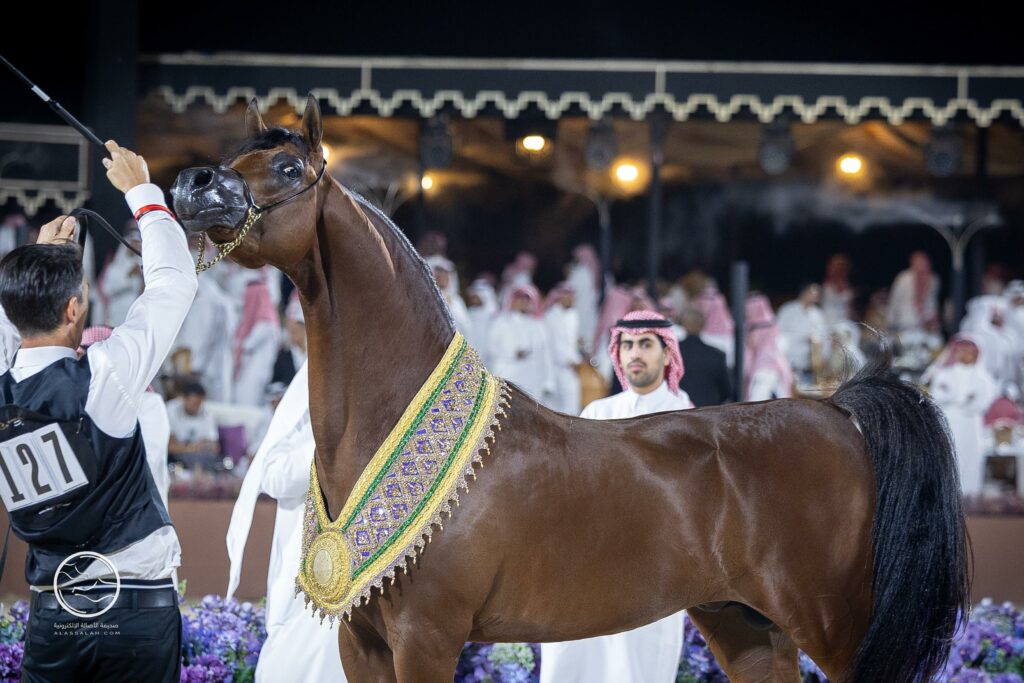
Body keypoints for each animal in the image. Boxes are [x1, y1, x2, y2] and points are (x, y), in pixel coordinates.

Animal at [170, 95, 968, 683]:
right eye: (237, 157)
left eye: (288, 165)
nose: (192, 185)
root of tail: (837, 411)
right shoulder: (361, 643)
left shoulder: (428, 635)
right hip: (744, 623)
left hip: (833, 624)